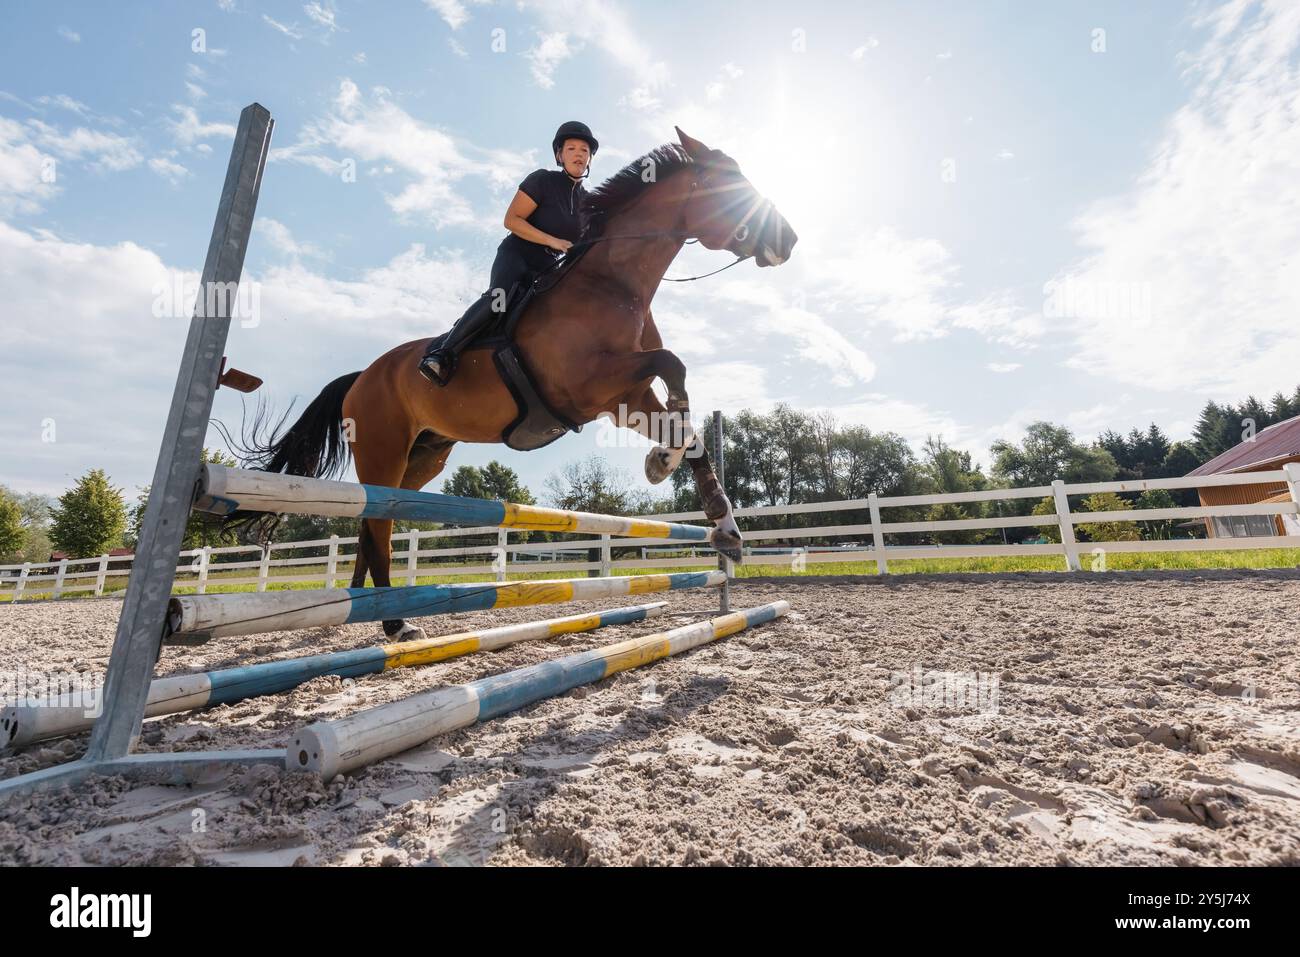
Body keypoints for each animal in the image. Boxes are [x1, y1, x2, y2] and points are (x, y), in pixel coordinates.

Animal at [239, 127, 798, 638]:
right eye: (728, 183)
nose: (788, 240)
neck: (614, 283)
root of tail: (363, 375)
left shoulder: (623, 397)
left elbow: (692, 436)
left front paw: (721, 523)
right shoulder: (587, 382)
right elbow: (673, 364)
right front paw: (662, 462)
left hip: (422, 456)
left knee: (375, 519)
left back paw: (370, 610)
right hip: (384, 449)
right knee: (377, 522)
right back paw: (395, 624)